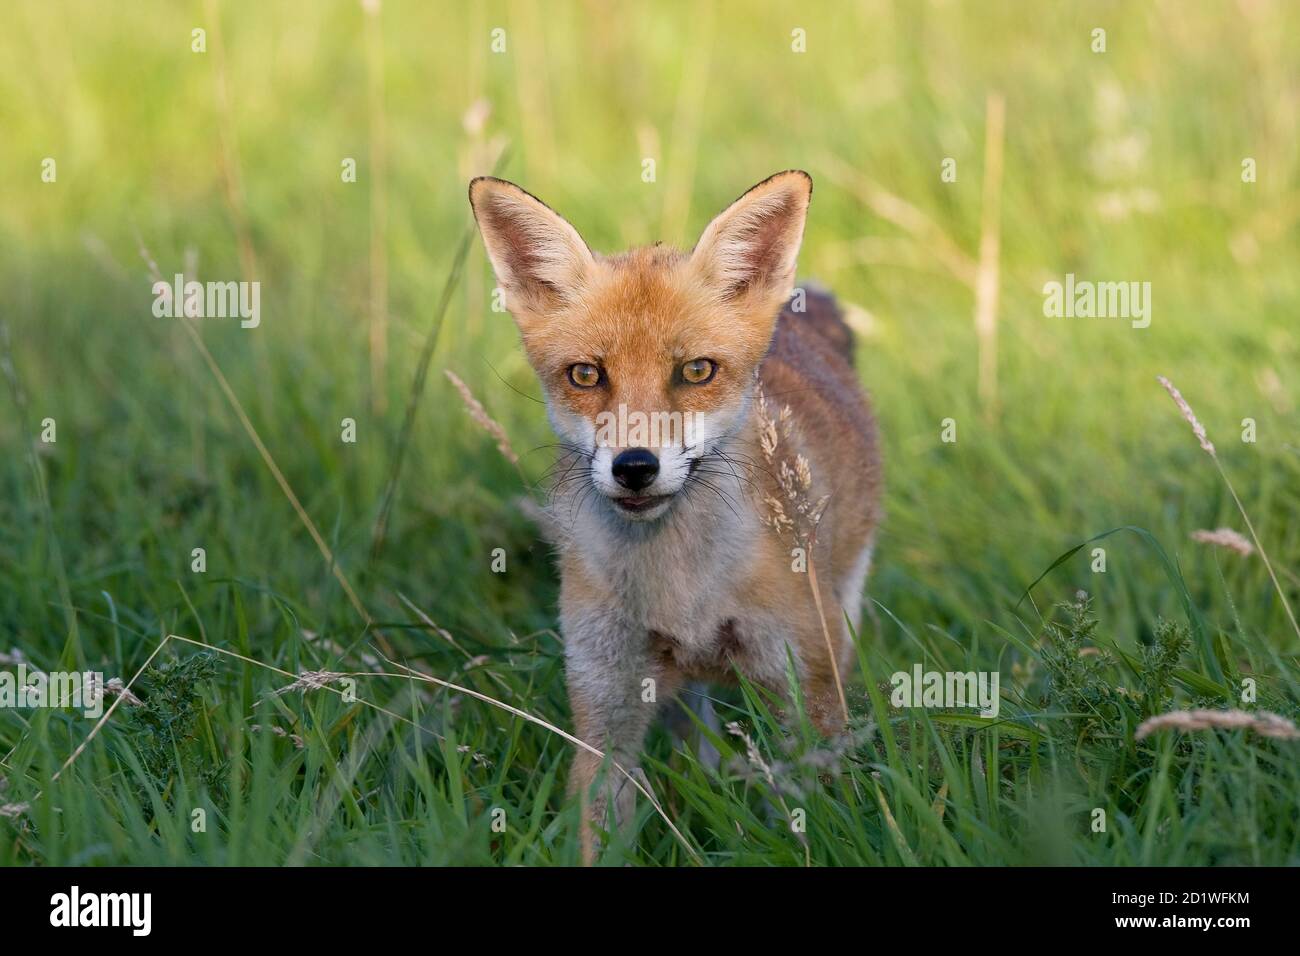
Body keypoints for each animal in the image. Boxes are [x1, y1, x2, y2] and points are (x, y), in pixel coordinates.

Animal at [468, 170, 882, 861]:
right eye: (587, 375)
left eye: (695, 371)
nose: (635, 466)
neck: (682, 589)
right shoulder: (607, 703)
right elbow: (598, 829)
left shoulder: (803, 687)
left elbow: (816, 814)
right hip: (672, 691)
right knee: (698, 744)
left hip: (838, 620)